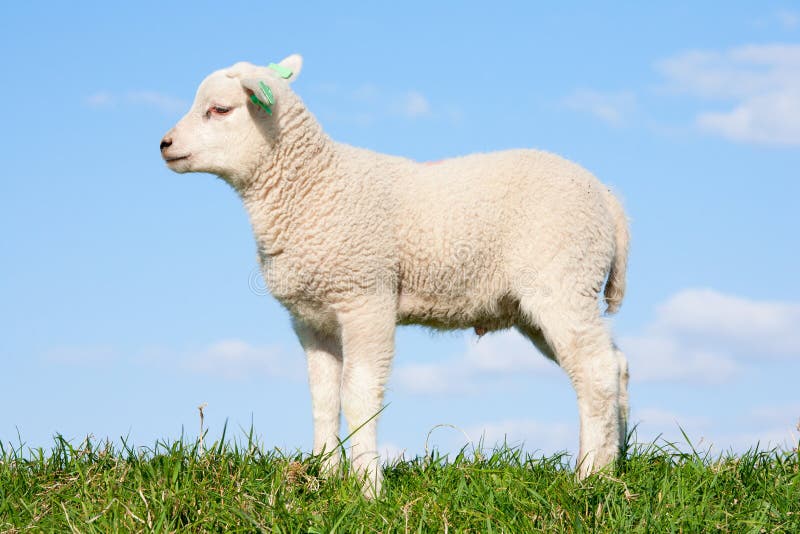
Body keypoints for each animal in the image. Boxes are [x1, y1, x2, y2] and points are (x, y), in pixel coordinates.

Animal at [160, 54, 630, 498]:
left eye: (219, 109)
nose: (164, 144)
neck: (312, 187)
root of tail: (609, 201)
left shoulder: (367, 297)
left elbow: (358, 394)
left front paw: (368, 486)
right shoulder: (311, 319)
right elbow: (323, 398)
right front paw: (325, 477)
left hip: (563, 280)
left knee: (595, 372)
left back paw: (590, 475)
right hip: (544, 304)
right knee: (614, 363)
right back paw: (617, 462)